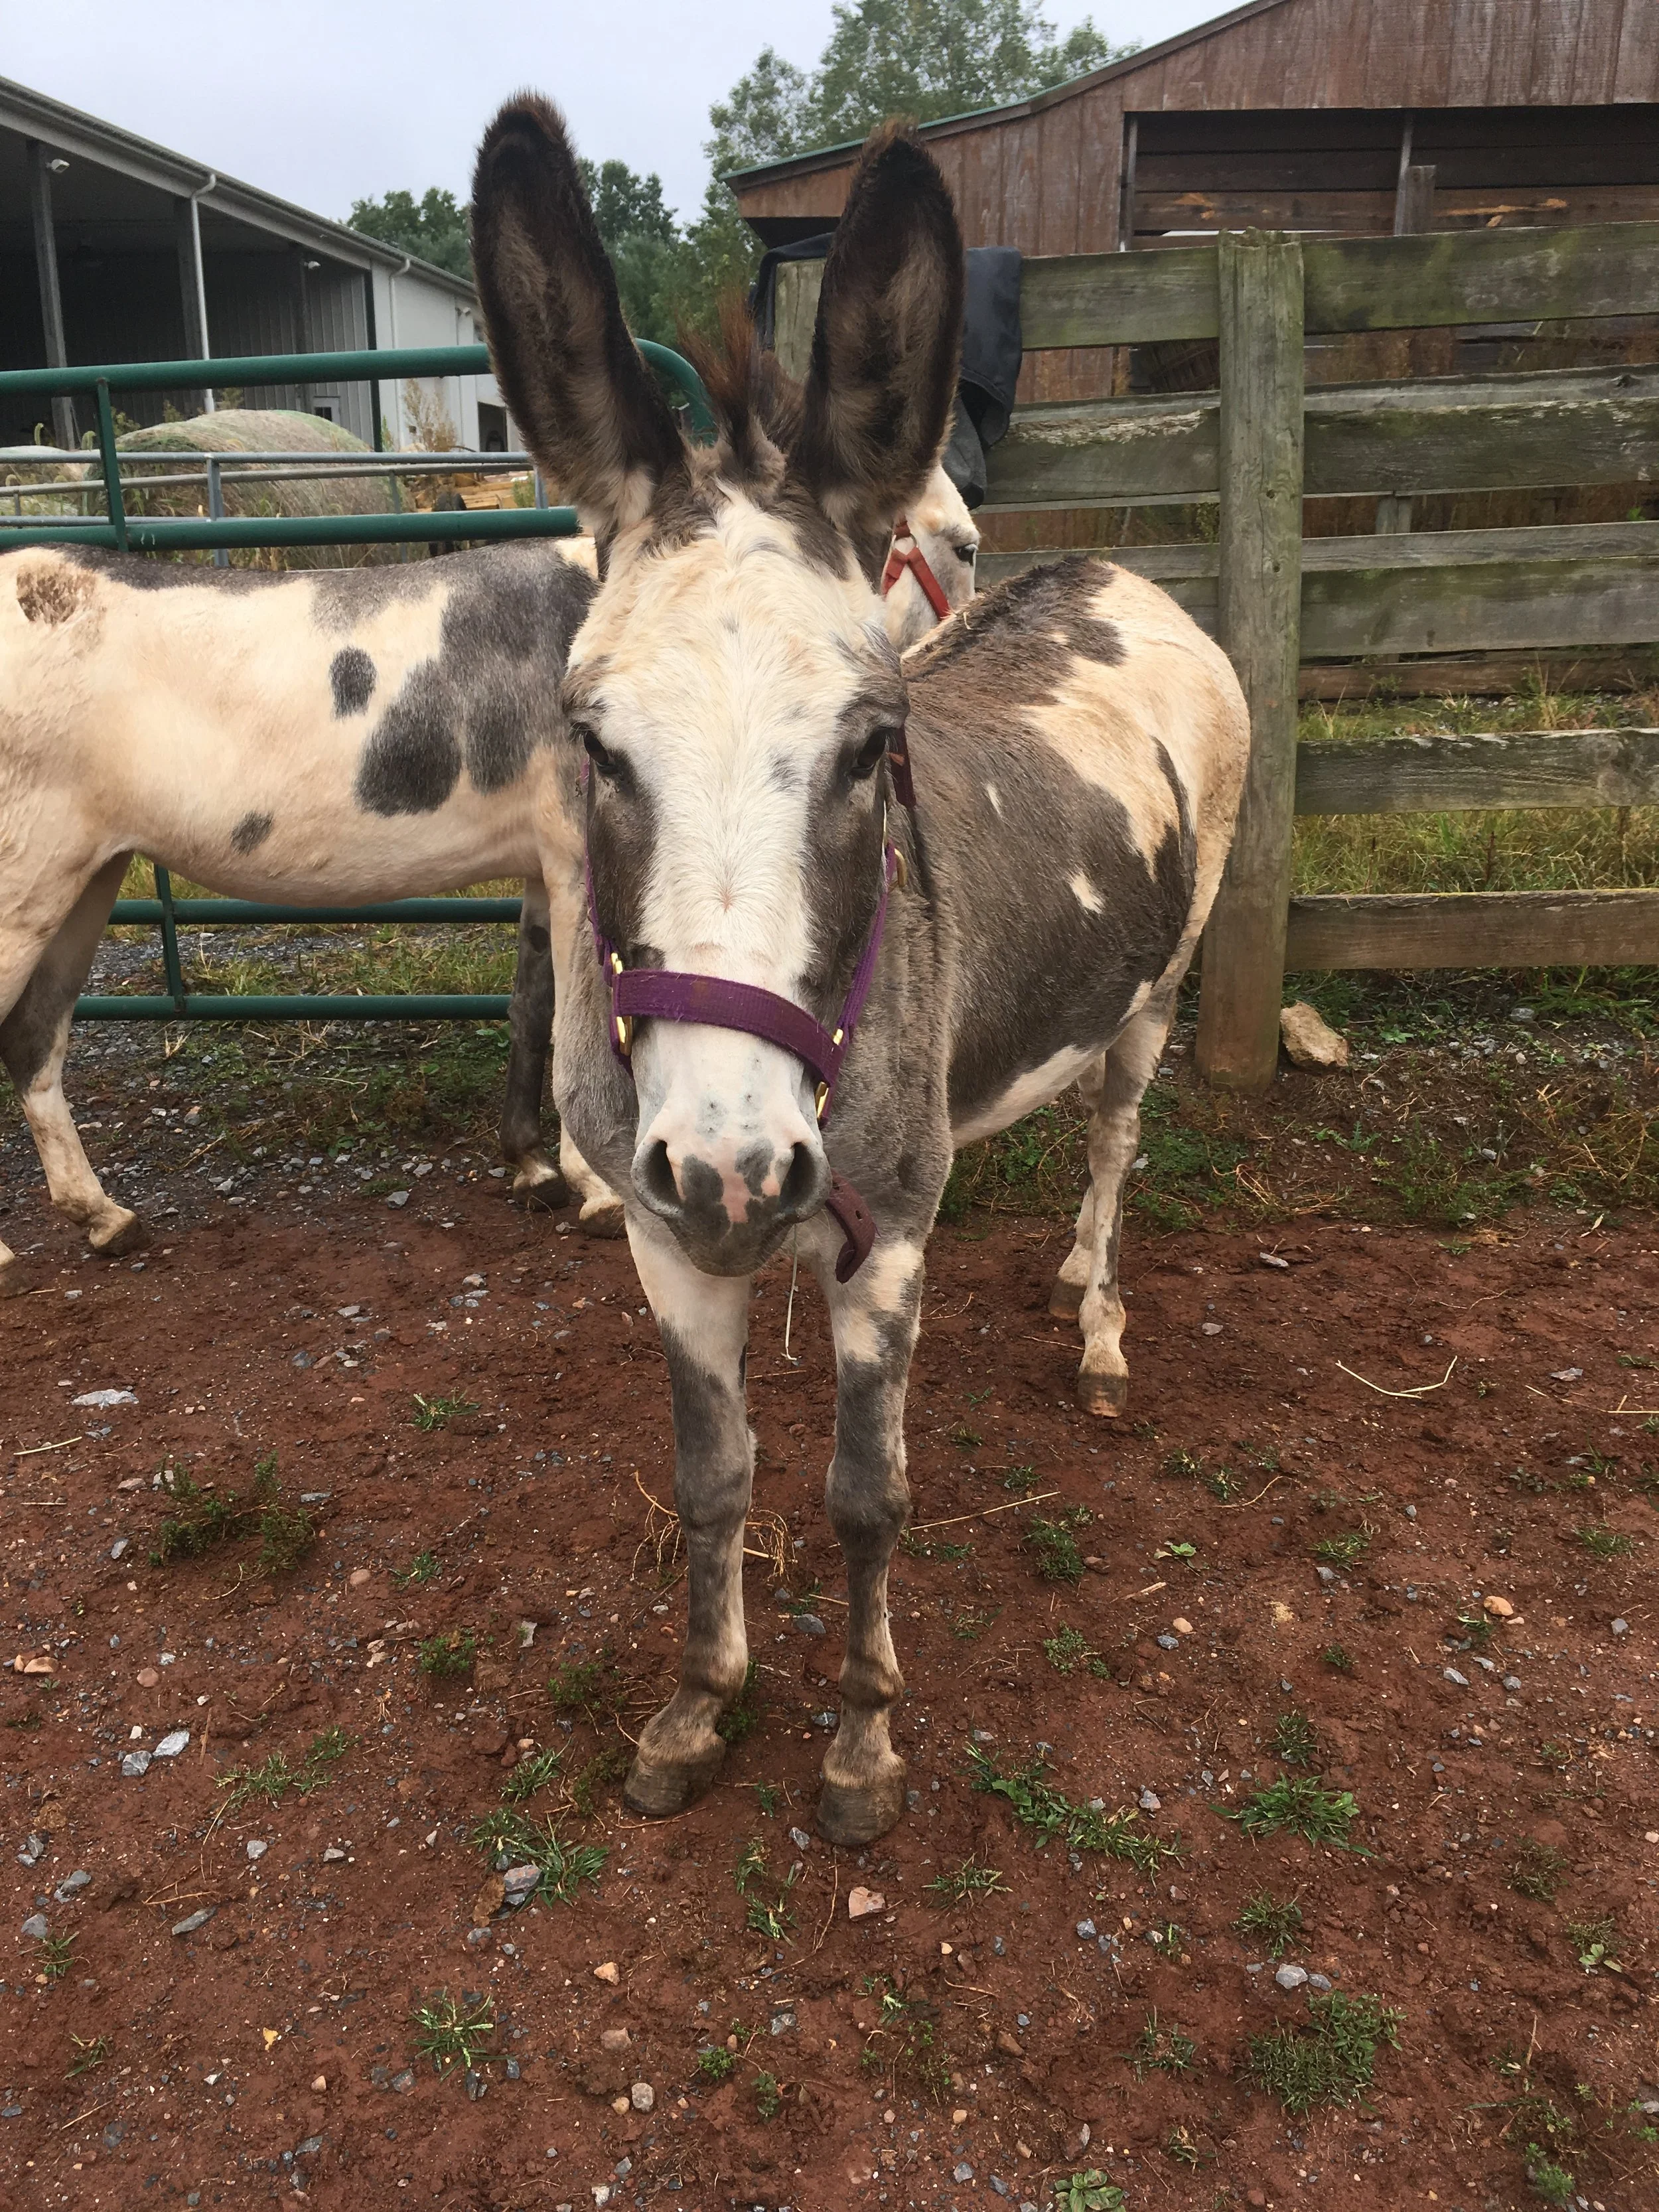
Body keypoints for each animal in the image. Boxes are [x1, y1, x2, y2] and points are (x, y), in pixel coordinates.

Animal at [0, 487, 969, 1284]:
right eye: (962, 545)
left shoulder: (547, 869)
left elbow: (532, 1006)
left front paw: (530, 1165)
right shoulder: (581, 860)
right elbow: (576, 1015)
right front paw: (594, 1187)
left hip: (89, 875)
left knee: (35, 1039)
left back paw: (102, 1216)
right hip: (29, 879)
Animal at [470, 98, 1249, 1844]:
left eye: (869, 747)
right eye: (590, 740)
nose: (740, 1167)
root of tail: (1110, 577)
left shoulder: (884, 1237)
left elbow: (862, 1494)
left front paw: (863, 1737)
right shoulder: (665, 1239)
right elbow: (714, 1479)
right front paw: (701, 1703)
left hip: (1158, 986)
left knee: (1116, 1138)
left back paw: (1099, 1322)